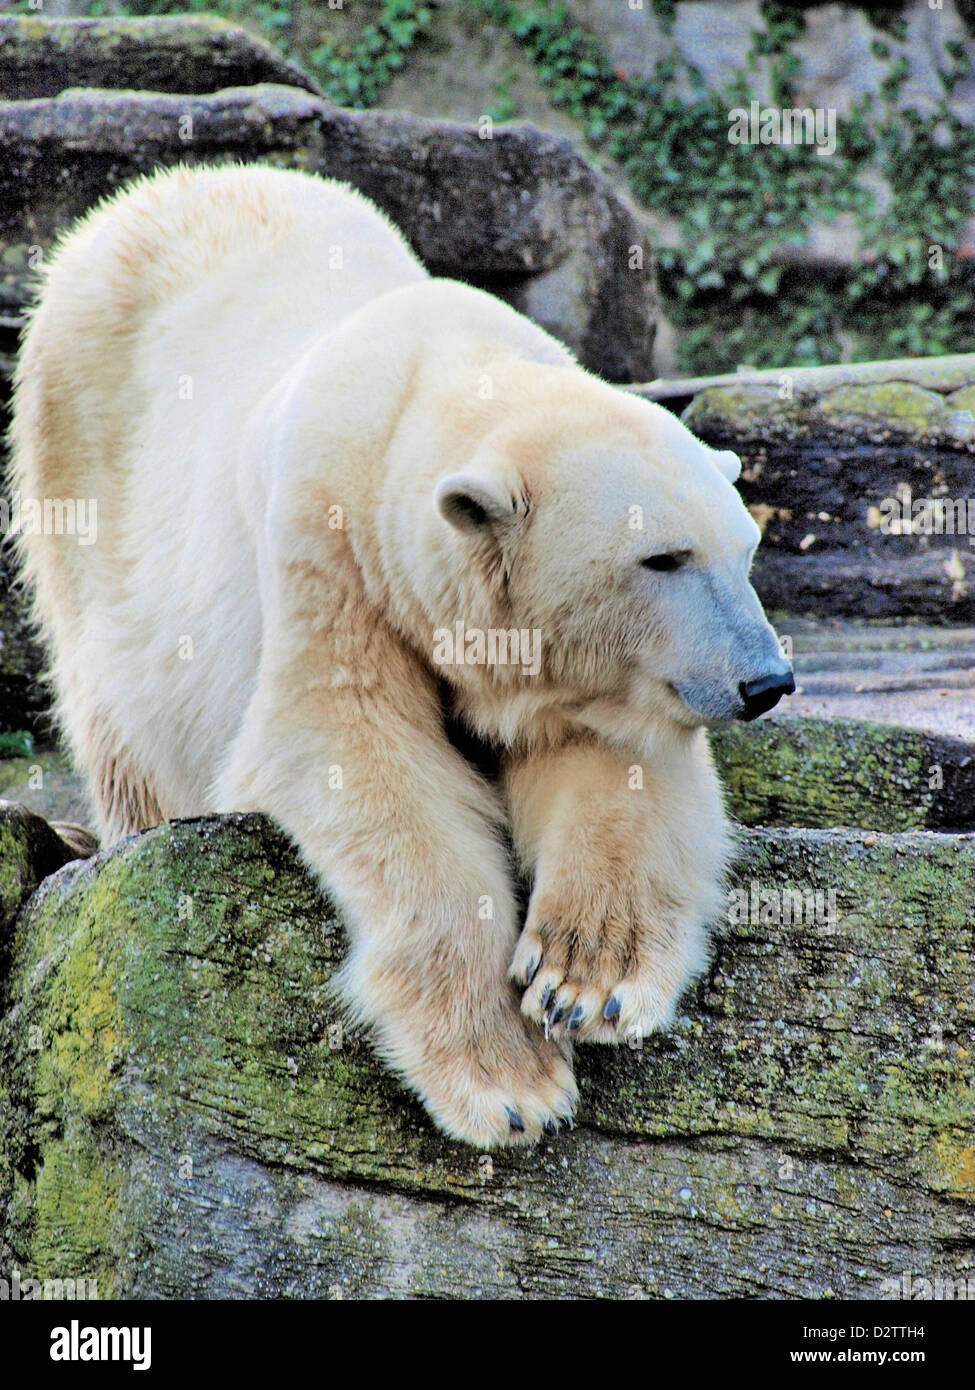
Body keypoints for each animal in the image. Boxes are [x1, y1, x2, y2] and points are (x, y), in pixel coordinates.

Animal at [10, 163, 794, 1148]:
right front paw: (506, 1081)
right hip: (81, 469)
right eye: (663, 557)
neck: (425, 385)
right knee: (115, 700)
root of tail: (161, 188)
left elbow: (607, 756)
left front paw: (585, 980)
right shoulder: (330, 551)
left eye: (745, 550)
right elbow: (359, 751)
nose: (766, 680)